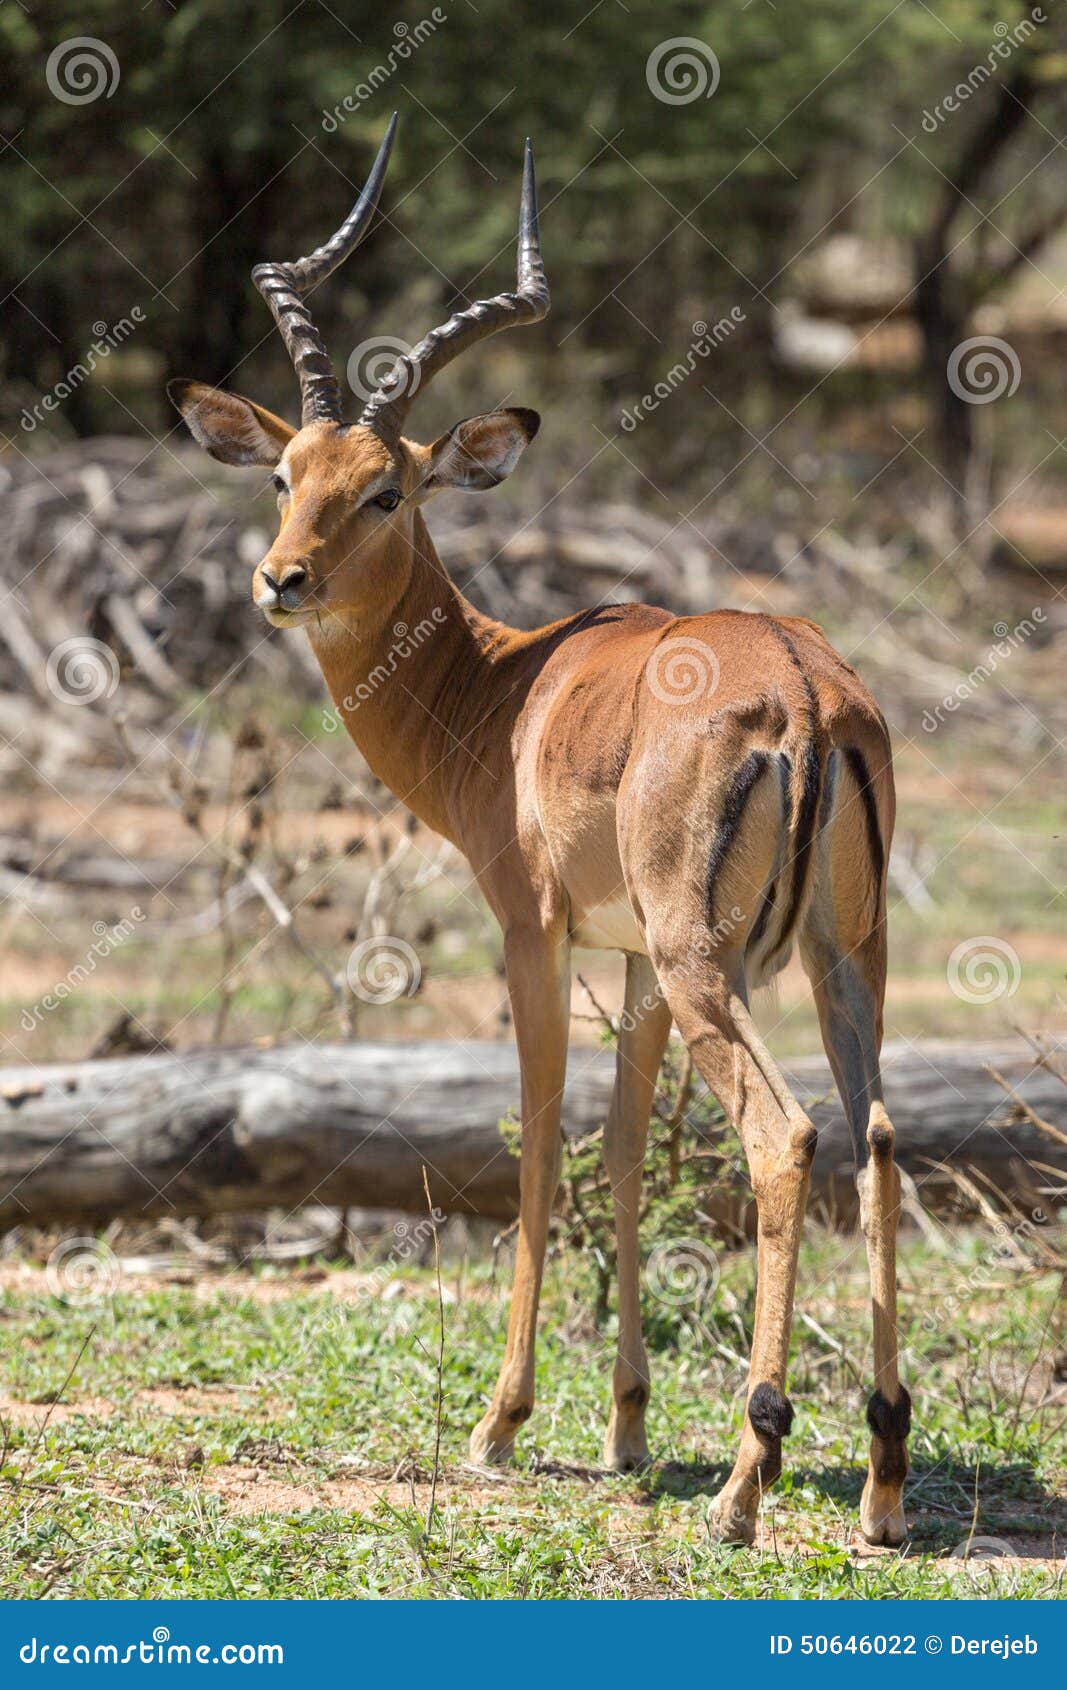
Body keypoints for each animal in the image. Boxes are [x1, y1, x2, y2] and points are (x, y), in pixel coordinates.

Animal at [170, 115, 910, 1547]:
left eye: (389, 491)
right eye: (286, 474)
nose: (280, 580)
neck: (504, 691)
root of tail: (803, 693)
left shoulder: (534, 931)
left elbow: (533, 1138)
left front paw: (499, 1425)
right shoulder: (628, 964)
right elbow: (617, 1152)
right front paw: (623, 1428)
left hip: (714, 967)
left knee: (785, 1137)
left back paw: (745, 1484)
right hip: (832, 960)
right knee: (881, 1138)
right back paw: (882, 1484)